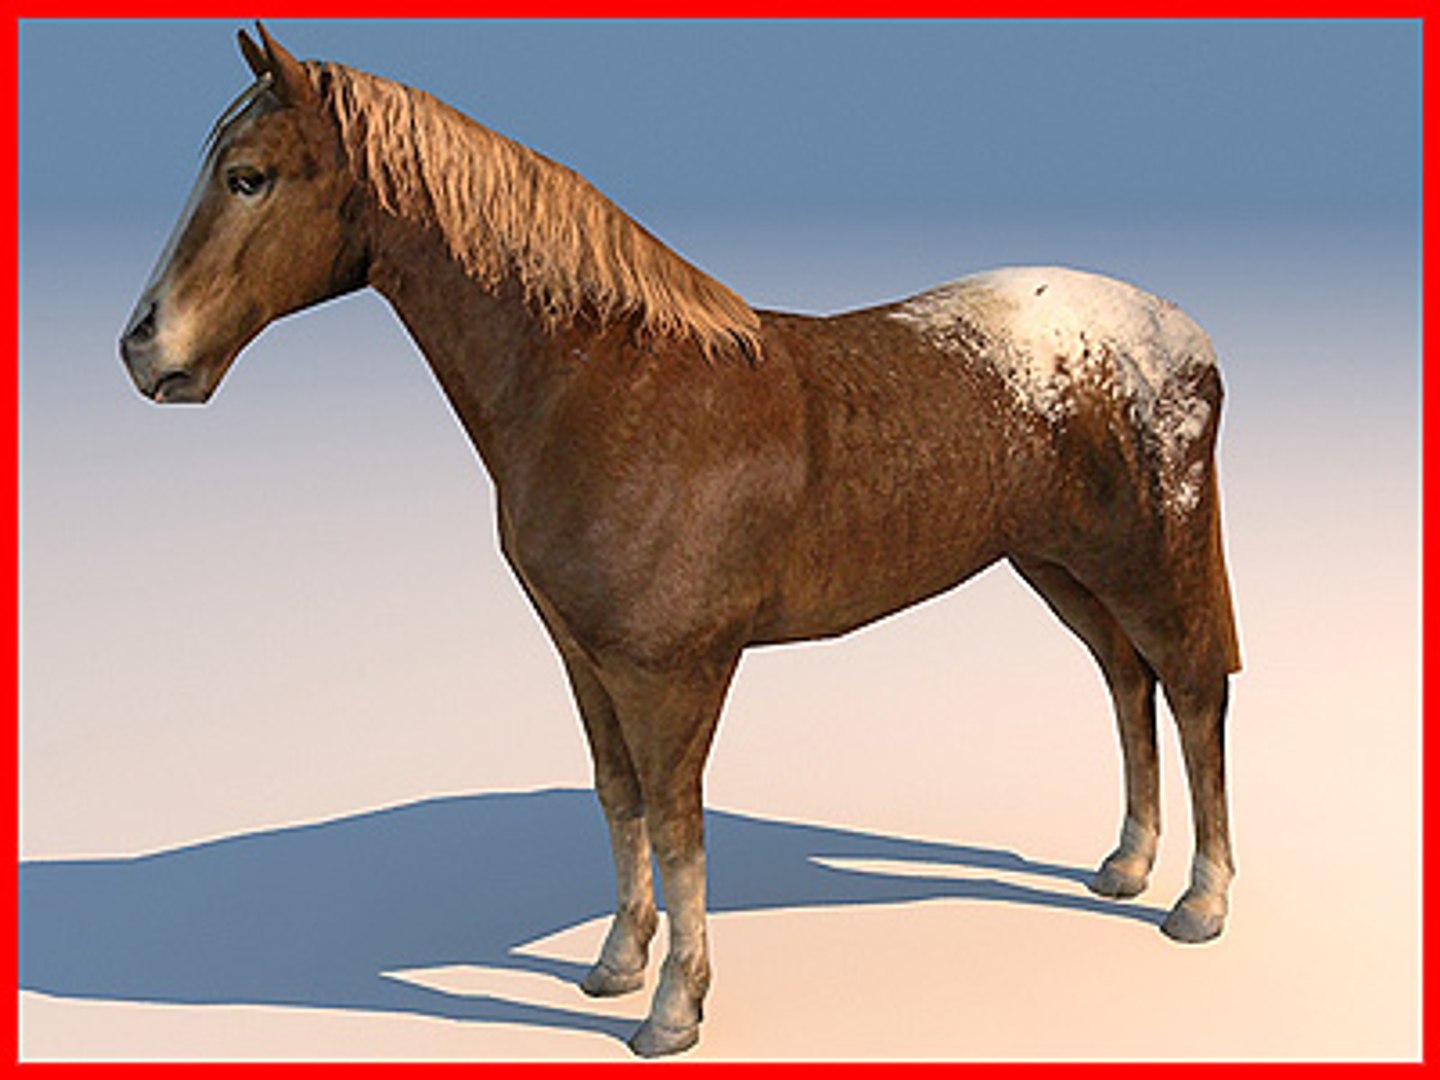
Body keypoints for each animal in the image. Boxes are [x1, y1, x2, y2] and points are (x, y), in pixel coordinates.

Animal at [119, 24, 1241, 1057]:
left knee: (1190, 691)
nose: (144, 350)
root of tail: (1181, 330)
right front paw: (615, 966)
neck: (612, 384)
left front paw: (673, 1011)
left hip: (1148, 558)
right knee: (1124, 681)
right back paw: (1123, 867)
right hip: (1060, 565)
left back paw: (1198, 903)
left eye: (248, 177)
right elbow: (619, 801)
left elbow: (675, 820)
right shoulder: (586, 656)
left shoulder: (675, 668)